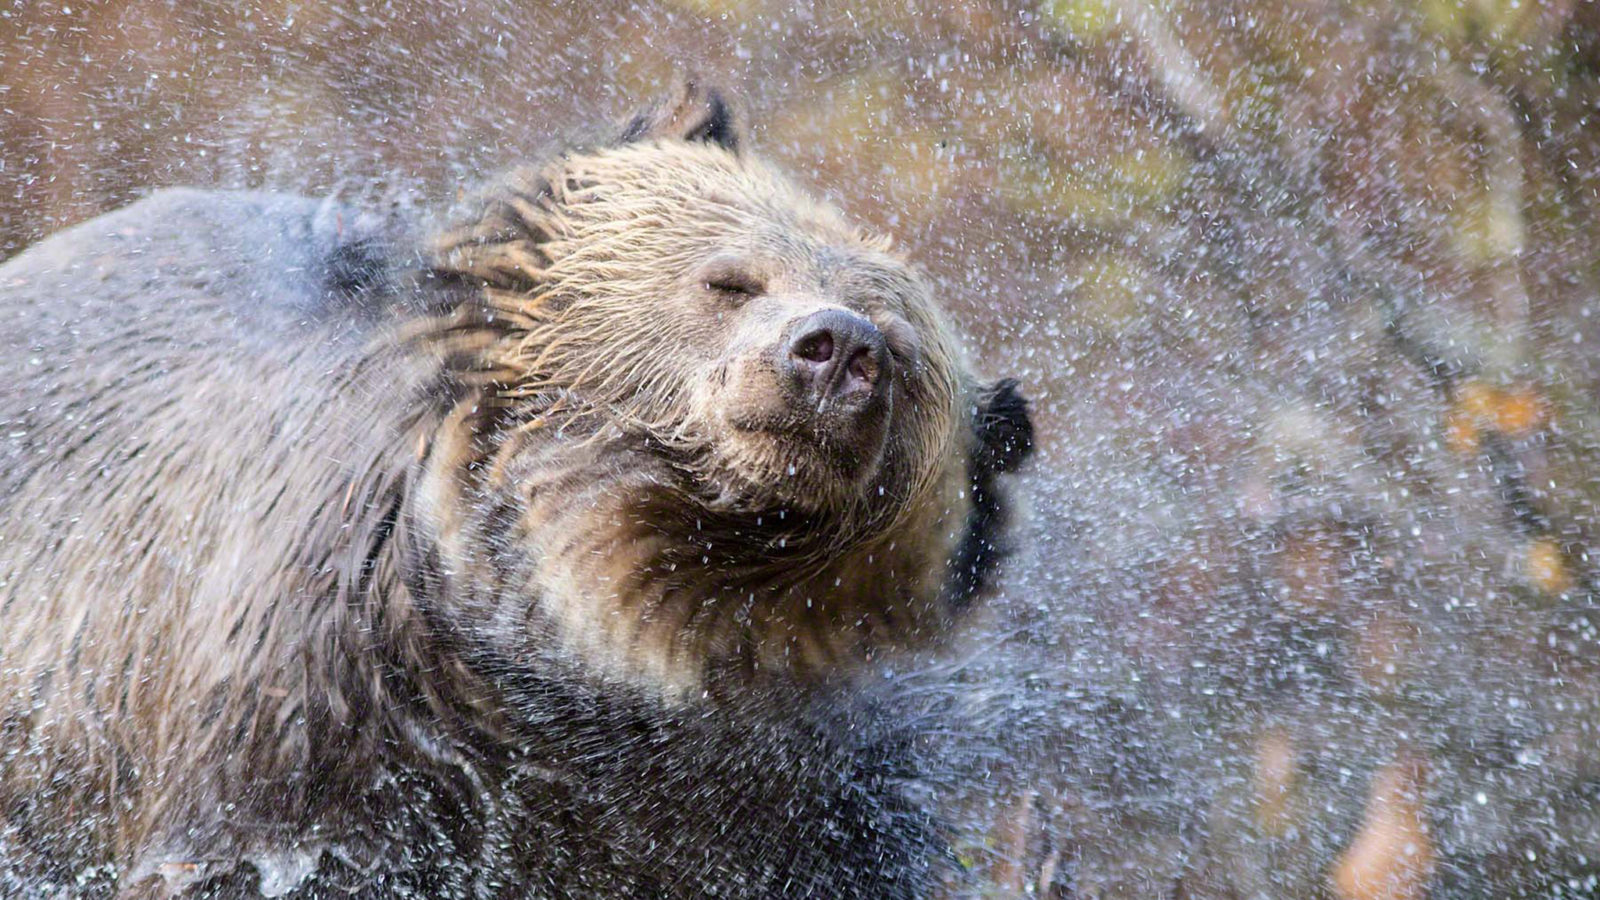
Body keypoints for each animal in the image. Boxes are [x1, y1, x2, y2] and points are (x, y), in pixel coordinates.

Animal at [0, 84, 1032, 898]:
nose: (833, 347)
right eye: (731, 280)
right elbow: (261, 853)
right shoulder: (319, 700)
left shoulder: (802, 798)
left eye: (902, 348)